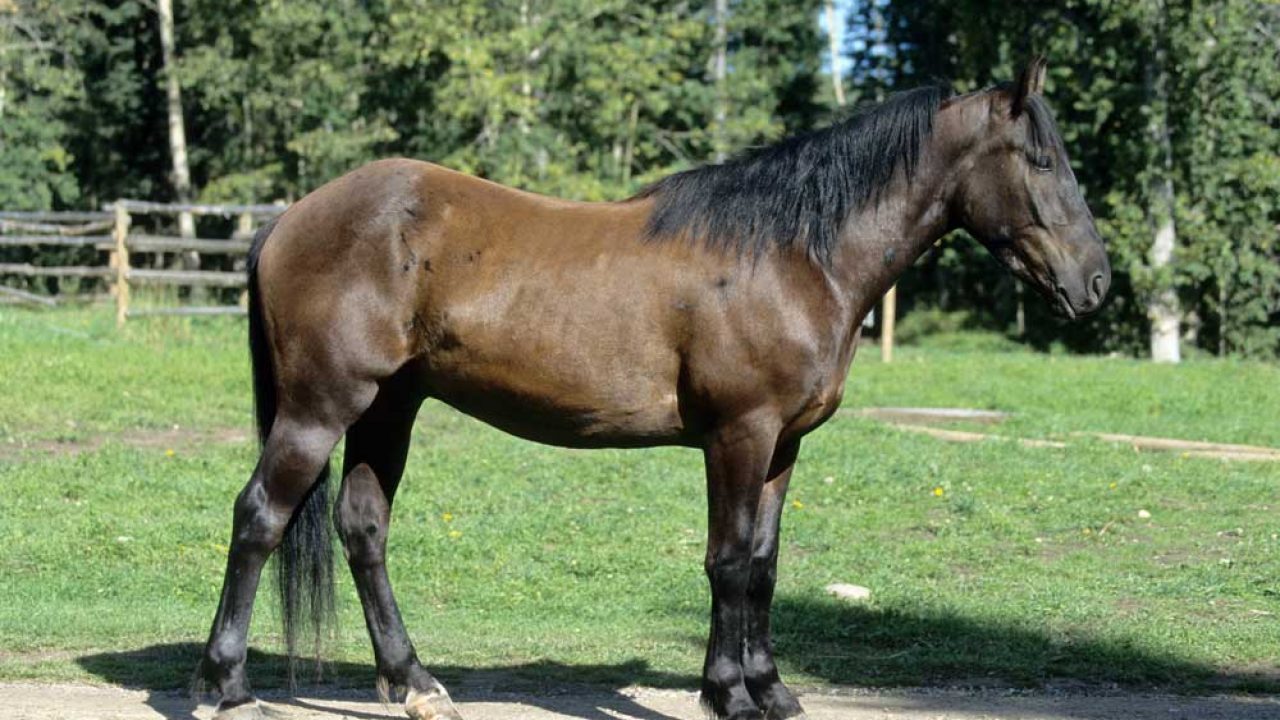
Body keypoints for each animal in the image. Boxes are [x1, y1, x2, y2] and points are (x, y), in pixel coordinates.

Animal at [198, 57, 1109, 720]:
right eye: (1042, 160)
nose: (1095, 284)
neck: (788, 256)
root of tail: (288, 219)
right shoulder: (740, 434)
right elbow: (729, 561)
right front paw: (729, 696)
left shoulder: (784, 445)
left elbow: (765, 562)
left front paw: (771, 690)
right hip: (321, 408)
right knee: (260, 518)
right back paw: (227, 689)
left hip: (389, 407)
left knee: (363, 528)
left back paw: (415, 683)